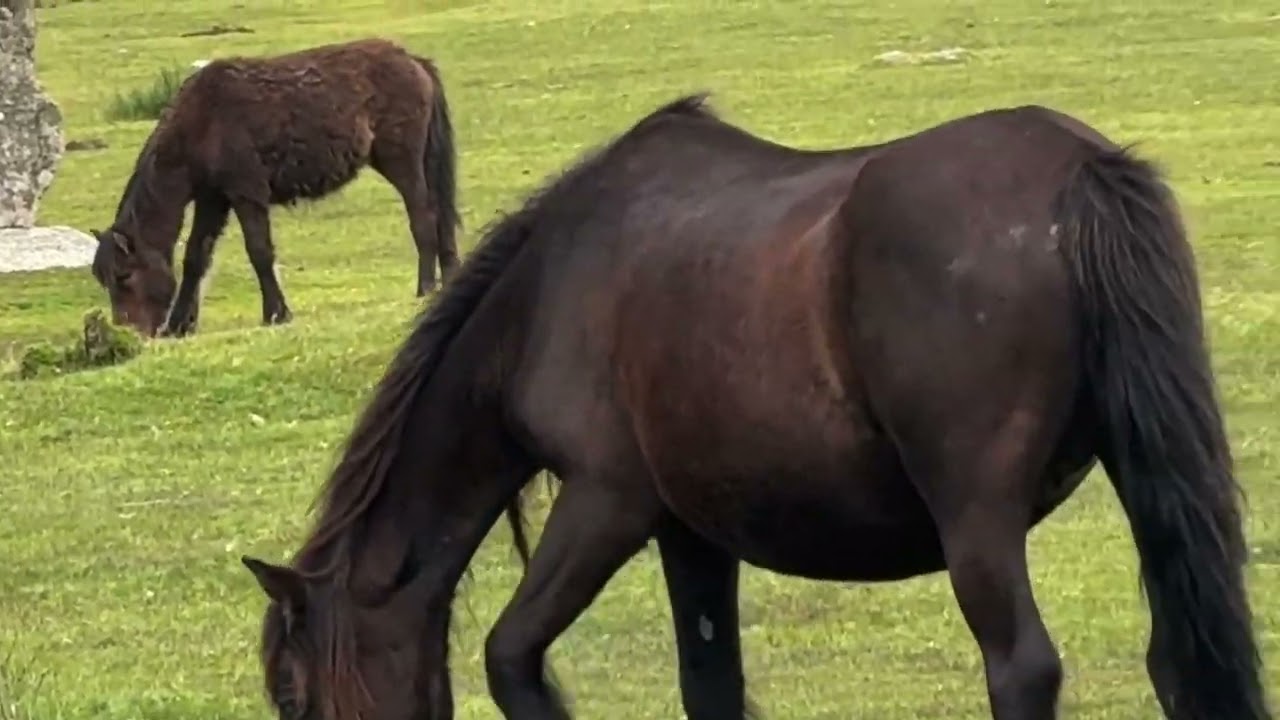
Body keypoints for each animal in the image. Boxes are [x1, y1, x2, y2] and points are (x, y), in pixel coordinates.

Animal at [88, 38, 460, 338]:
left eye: (124, 277)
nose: (131, 333)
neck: (203, 121)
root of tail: (413, 60)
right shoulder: (213, 200)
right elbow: (196, 258)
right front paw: (181, 324)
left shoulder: (247, 194)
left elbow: (259, 252)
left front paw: (276, 314)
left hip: (401, 162)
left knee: (423, 218)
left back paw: (425, 287)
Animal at [239, 94, 1271, 720]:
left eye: (293, 693)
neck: (547, 295)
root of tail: (1074, 174)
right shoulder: (692, 536)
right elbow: (711, 683)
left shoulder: (604, 506)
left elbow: (511, 656)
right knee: (1179, 657)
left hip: (976, 520)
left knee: (1021, 666)